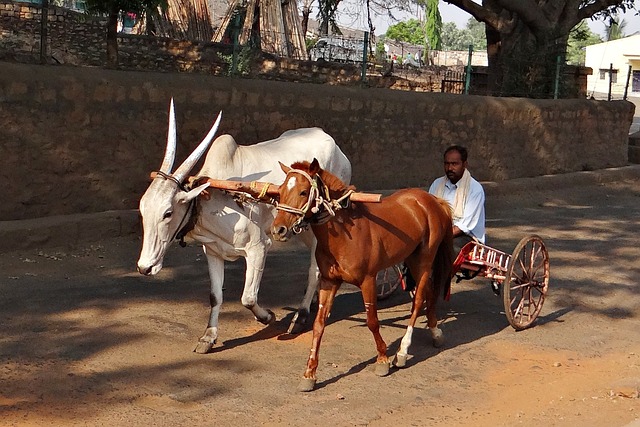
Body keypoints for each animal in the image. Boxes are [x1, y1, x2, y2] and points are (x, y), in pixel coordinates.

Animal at [270, 159, 456, 392]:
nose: (278, 230)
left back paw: (403, 352)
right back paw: (435, 332)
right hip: (412, 259)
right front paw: (309, 374)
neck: (345, 235)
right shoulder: (329, 281)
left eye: (303, 192)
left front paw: (383, 360)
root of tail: (432, 200)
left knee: (418, 300)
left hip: (424, 259)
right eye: (280, 191)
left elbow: (372, 321)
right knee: (429, 293)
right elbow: (318, 325)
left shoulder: (368, 280)